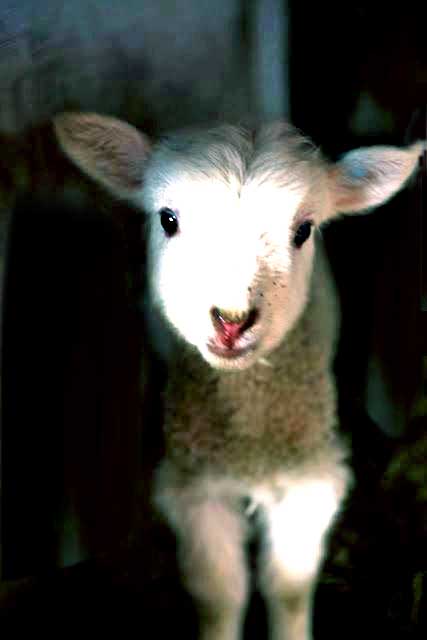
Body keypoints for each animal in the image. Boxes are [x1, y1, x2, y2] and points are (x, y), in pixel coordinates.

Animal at [53, 112, 423, 640]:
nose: (231, 321)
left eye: (304, 230)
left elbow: (289, 590)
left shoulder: (308, 479)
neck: (248, 441)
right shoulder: (196, 486)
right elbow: (220, 595)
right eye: (168, 219)